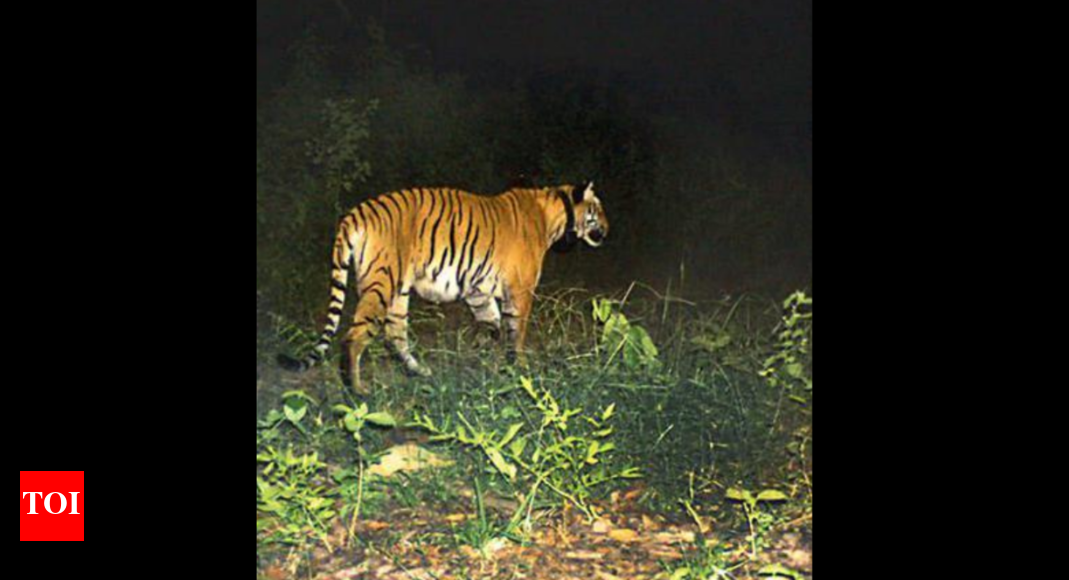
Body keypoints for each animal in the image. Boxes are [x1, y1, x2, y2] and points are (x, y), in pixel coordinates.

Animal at [278, 182, 608, 392]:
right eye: (598, 208)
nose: (608, 227)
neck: (555, 212)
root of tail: (355, 213)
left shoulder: (478, 290)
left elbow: (492, 326)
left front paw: (483, 360)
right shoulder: (521, 289)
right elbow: (516, 332)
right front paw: (519, 368)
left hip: (399, 291)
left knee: (394, 336)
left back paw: (418, 371)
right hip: (381, 284)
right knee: (354, 337)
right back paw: (357, 391)